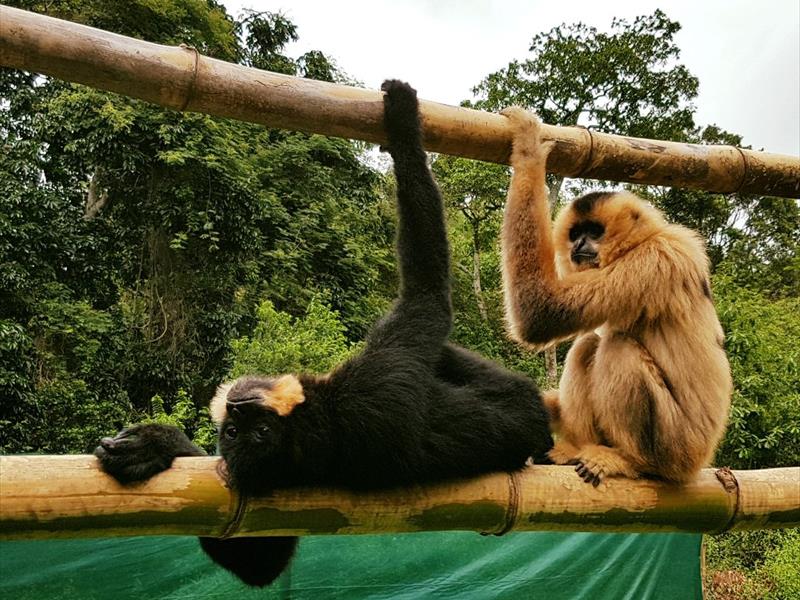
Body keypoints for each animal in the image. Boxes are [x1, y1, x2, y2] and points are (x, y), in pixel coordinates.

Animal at [94, 81, 552, 588]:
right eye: (236, 430)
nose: (240, 404)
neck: (324, 415)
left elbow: (259, 557)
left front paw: (158, 447)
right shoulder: (376, 382)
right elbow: (428, 298)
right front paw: (402, 123)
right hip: (525, 402)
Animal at [498, 106, 731, 486]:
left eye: (594, 232)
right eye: (576, 233)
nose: (579, 244)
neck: (642, 241)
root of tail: (699, 459)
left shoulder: (651, 262)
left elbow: (540, 311)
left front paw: (529, 152)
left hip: (676, 447)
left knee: (615, 347)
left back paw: (630, 461)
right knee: (589, 345)